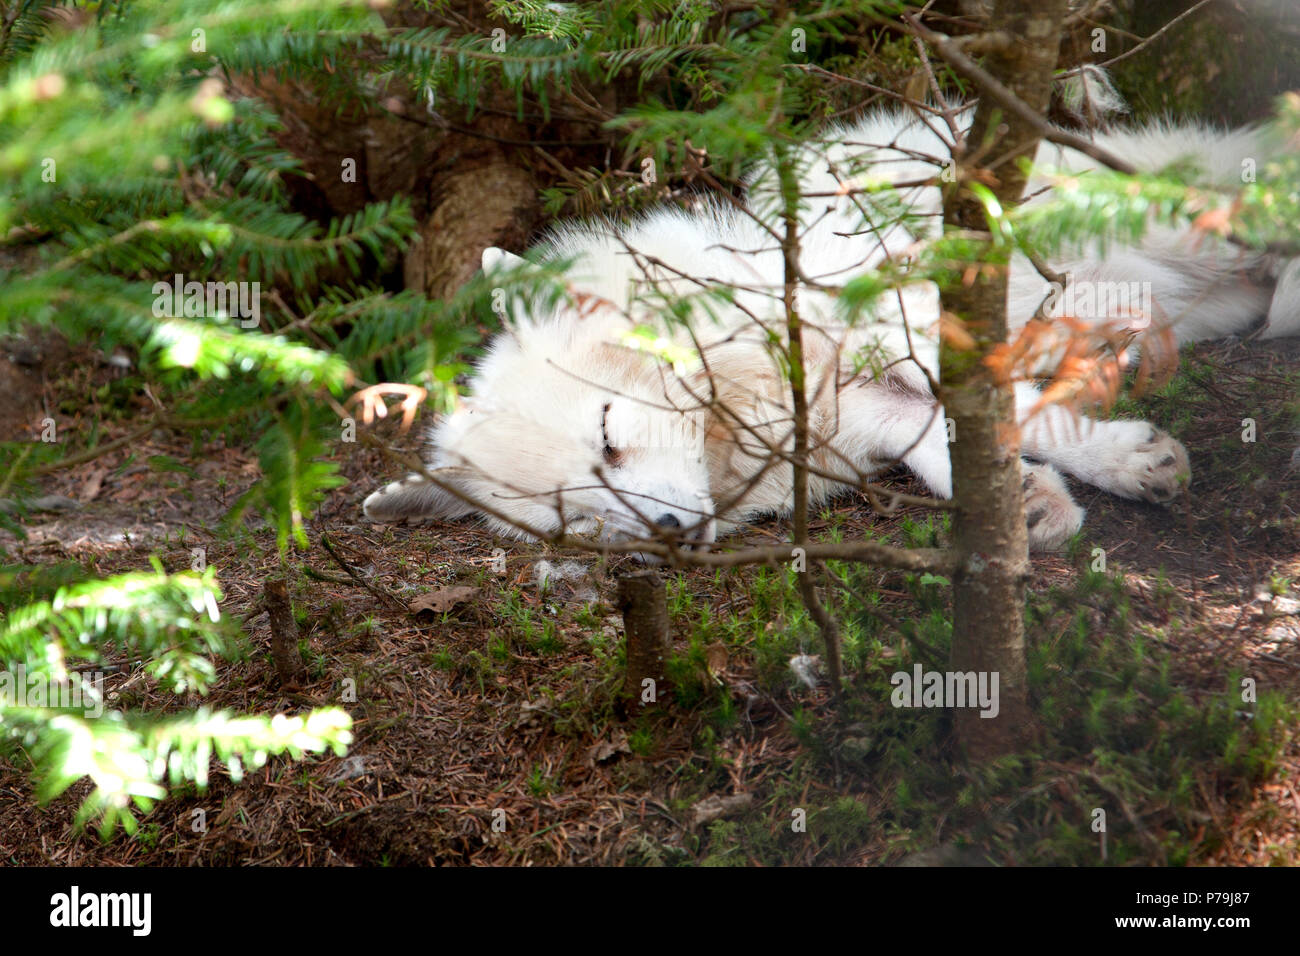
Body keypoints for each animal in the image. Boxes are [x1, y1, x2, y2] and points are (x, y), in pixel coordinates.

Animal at [362, 106, 1299, 552]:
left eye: (608, 435)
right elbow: (947, 443)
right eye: (576, 519)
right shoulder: (865, 421)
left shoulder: (899, 313)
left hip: (1169, 222)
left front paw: (1112, 460)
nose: (669, 536)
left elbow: (998, 399)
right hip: (1194, 293)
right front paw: (1042, 496)